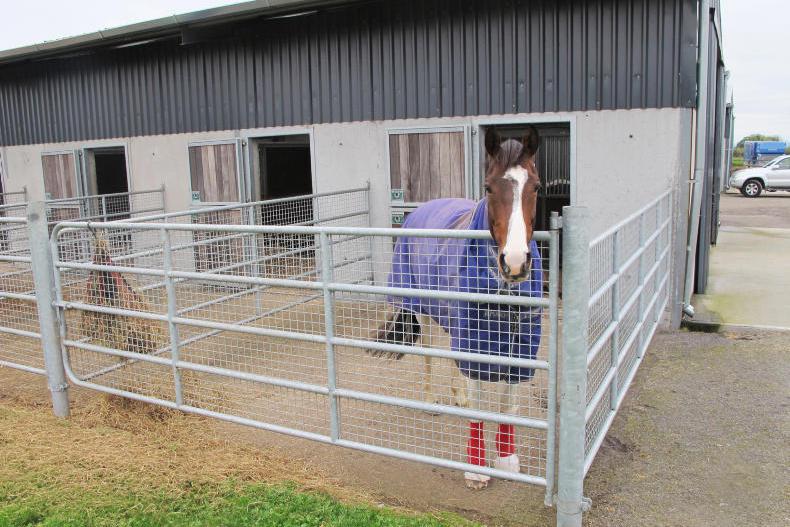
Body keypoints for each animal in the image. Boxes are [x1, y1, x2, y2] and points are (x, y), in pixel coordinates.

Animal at [370, 126, 544, 489]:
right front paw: (476, 469)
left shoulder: (523, 340)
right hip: (422, 308)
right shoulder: (473, 336)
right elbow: (480, 404)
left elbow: (508, 402)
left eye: (535, 186)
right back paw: (430, 402)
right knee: (429, 354)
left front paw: (507, 461)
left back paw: (457, 395)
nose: (515, 262)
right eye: (489, 187)